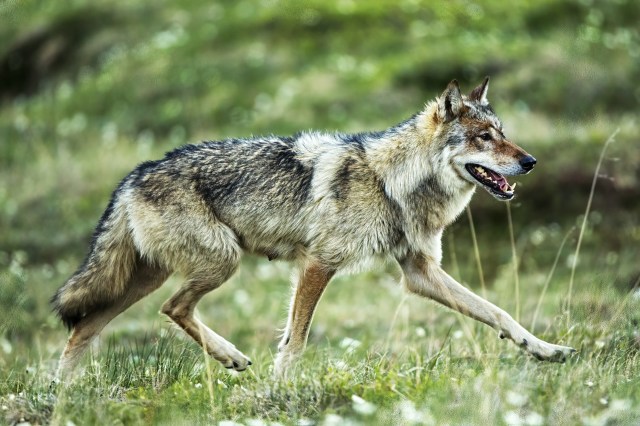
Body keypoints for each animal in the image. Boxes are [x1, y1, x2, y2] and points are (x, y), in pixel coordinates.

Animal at [52, 78, 575, 378]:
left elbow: (498, 313)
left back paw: (64, 400)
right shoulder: (318, 263)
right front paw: (279, 393)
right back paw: (231, 356)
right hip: (221, 262)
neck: (392, 182)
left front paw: (545, 350)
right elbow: (297, 340)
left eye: (503, 134)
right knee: (171, 308)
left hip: (150, 276)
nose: (530, 161)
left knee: (84, 330)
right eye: (484, 138)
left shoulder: (419, 272)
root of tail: (134, 174)